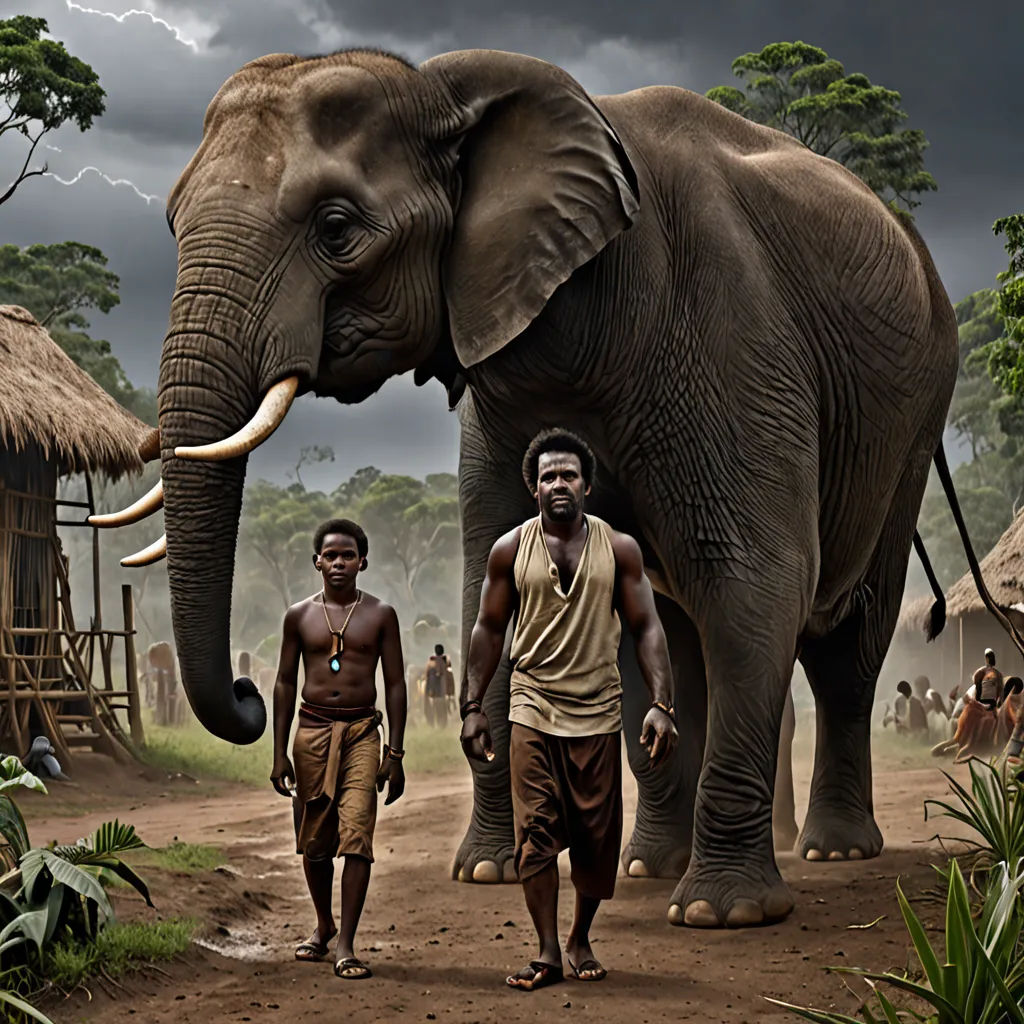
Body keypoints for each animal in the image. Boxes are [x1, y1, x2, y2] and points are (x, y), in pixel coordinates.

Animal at [97, 47, 1018, 928]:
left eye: (335, 228)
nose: (252, 697)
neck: (445, 87)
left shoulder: (730, 332)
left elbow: (758, 581)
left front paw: (723, 914)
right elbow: (496, 585)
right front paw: (487, 873)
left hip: (913, 415)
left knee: (844, 638)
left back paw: (830, 853)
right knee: (671, 631)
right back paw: (651, 865)